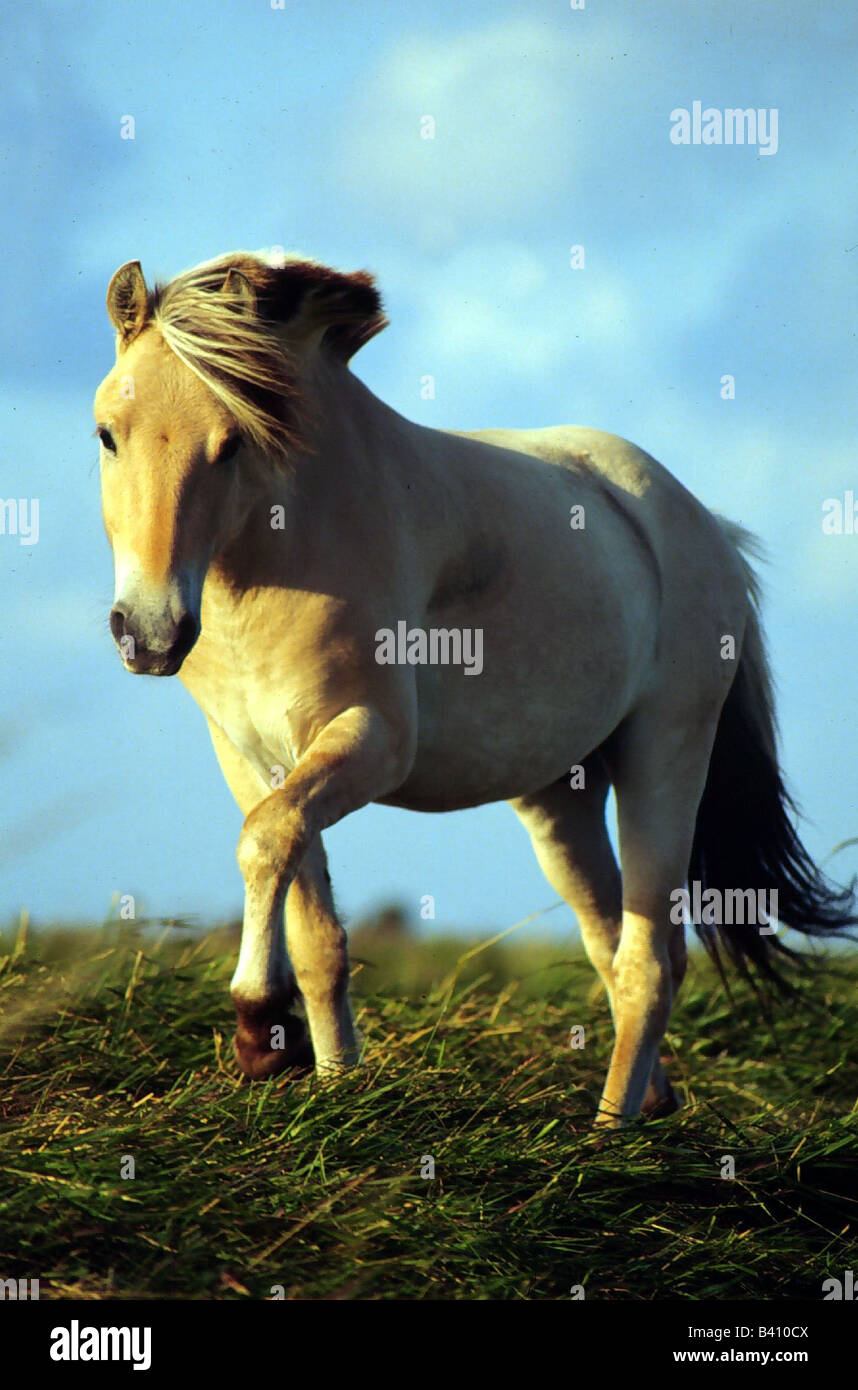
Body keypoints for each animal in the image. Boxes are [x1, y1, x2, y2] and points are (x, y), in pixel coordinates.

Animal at [92, 249, 856, 1127]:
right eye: (107, 435)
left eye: (231, 446)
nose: (150, 632)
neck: (286, 548)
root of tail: (701, 527)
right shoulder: (256, 759)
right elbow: (311, 920)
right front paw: (332, 1086)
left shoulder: (370, 742)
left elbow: (264, 842)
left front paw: (258, 1028)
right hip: (561, 800)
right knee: (623, 946)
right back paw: (652, 1107)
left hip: (665, 759)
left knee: (647, 966)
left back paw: (609, 1134)